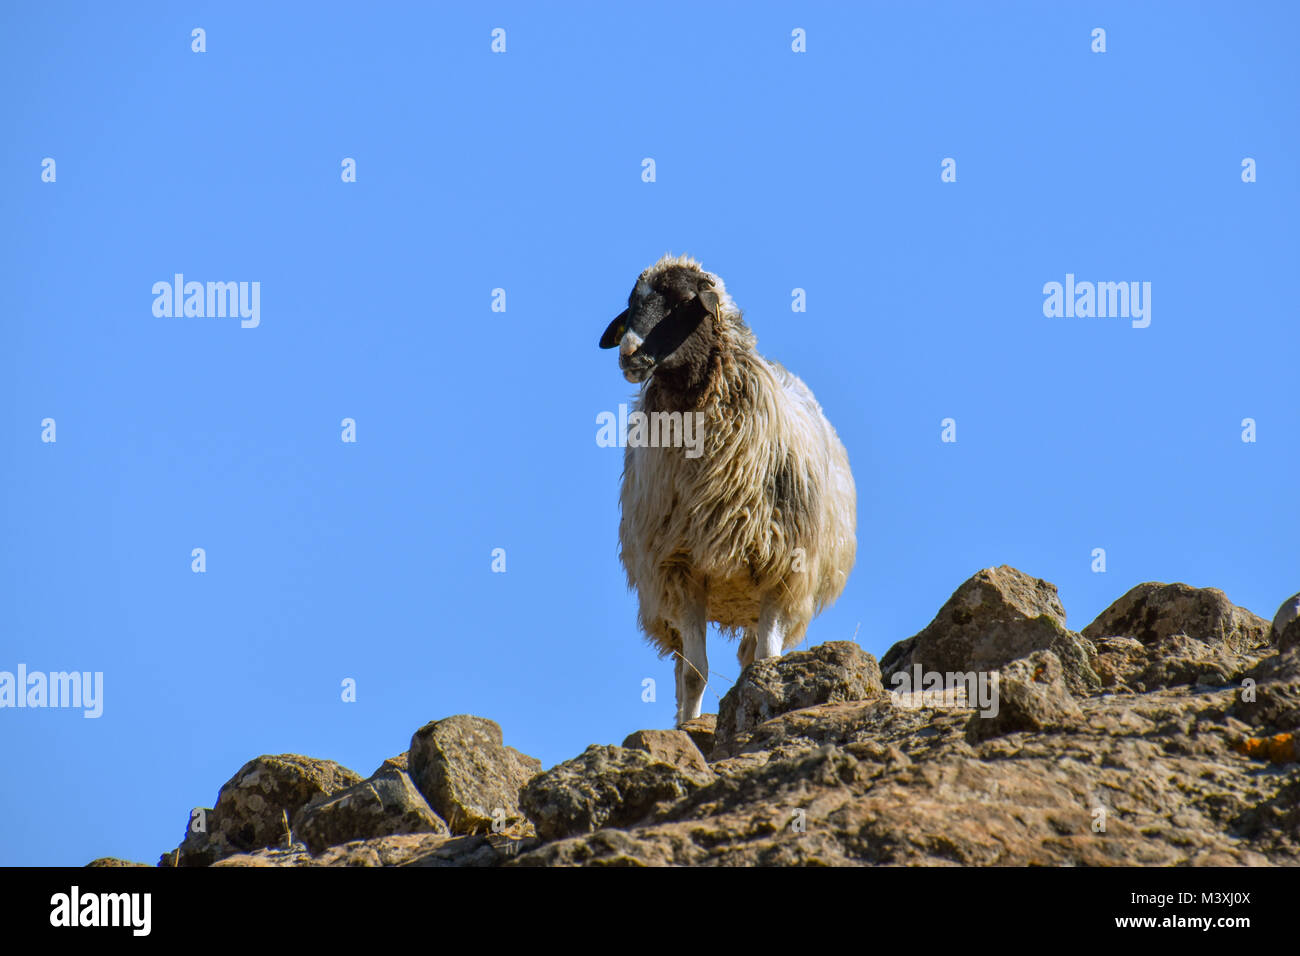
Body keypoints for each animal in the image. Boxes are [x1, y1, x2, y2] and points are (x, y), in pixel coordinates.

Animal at [599, 253, 857, 728]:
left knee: (751, 654)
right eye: (631, 305)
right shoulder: (680, 568)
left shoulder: (780, 567)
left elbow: (767, 663)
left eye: (683, 302)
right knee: (685, 666)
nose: (628, 354)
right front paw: (686, 728)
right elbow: (694, 673)